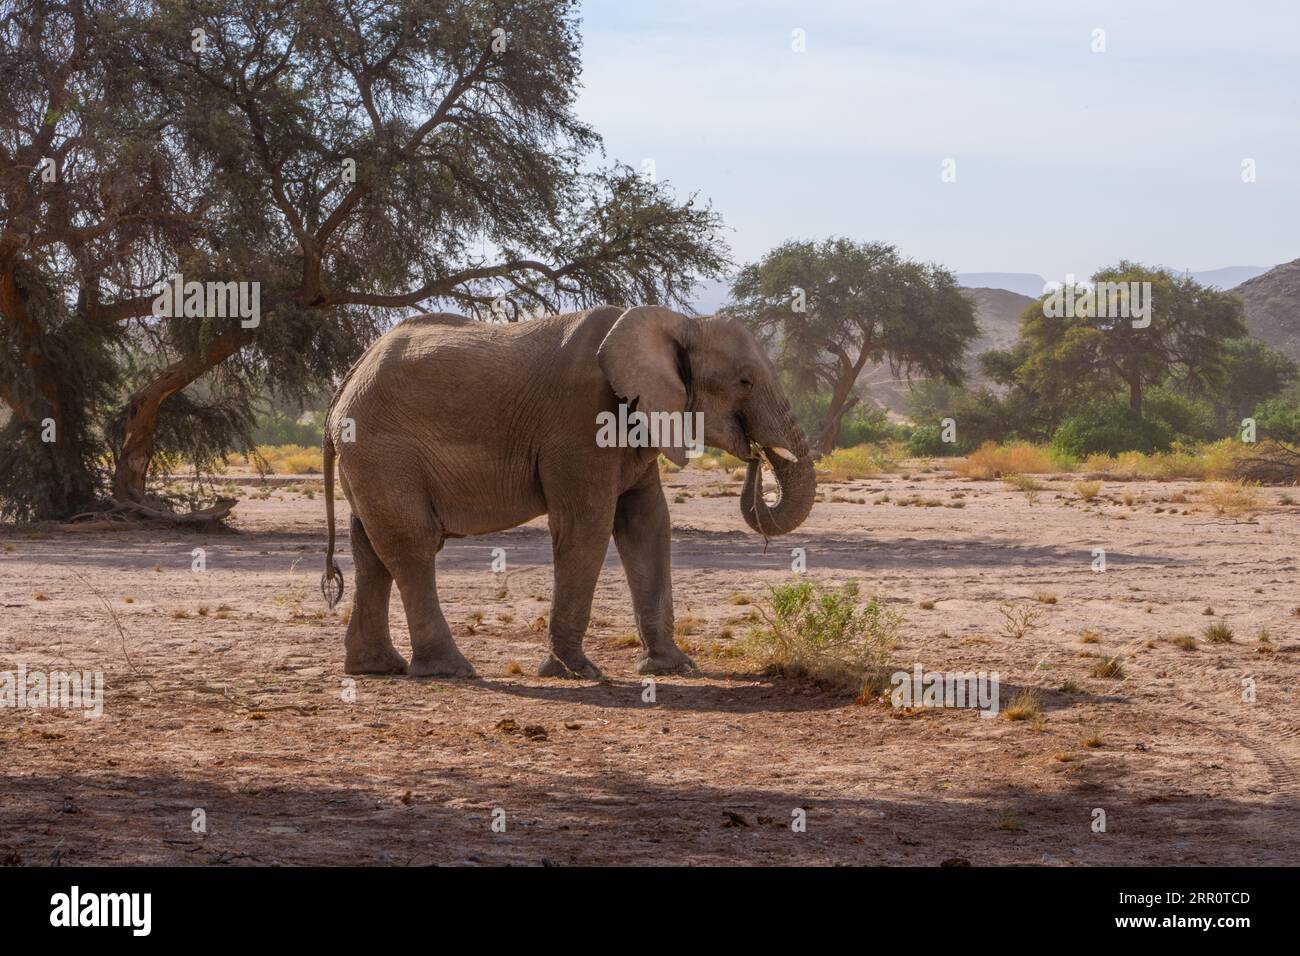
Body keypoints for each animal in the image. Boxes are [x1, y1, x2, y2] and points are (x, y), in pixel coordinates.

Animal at [320, 304, 816, 679]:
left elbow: (648, 523)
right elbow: (587, 525)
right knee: (413, 546)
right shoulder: (582, 420)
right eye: (744, 382)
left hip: (367, 454)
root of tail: (346, 379)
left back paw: (375, 669)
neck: (677, 322)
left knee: (370, 549)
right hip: (382, 448)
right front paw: (576, 672)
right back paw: (450, 670)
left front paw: (673, 668)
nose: (754, 457)